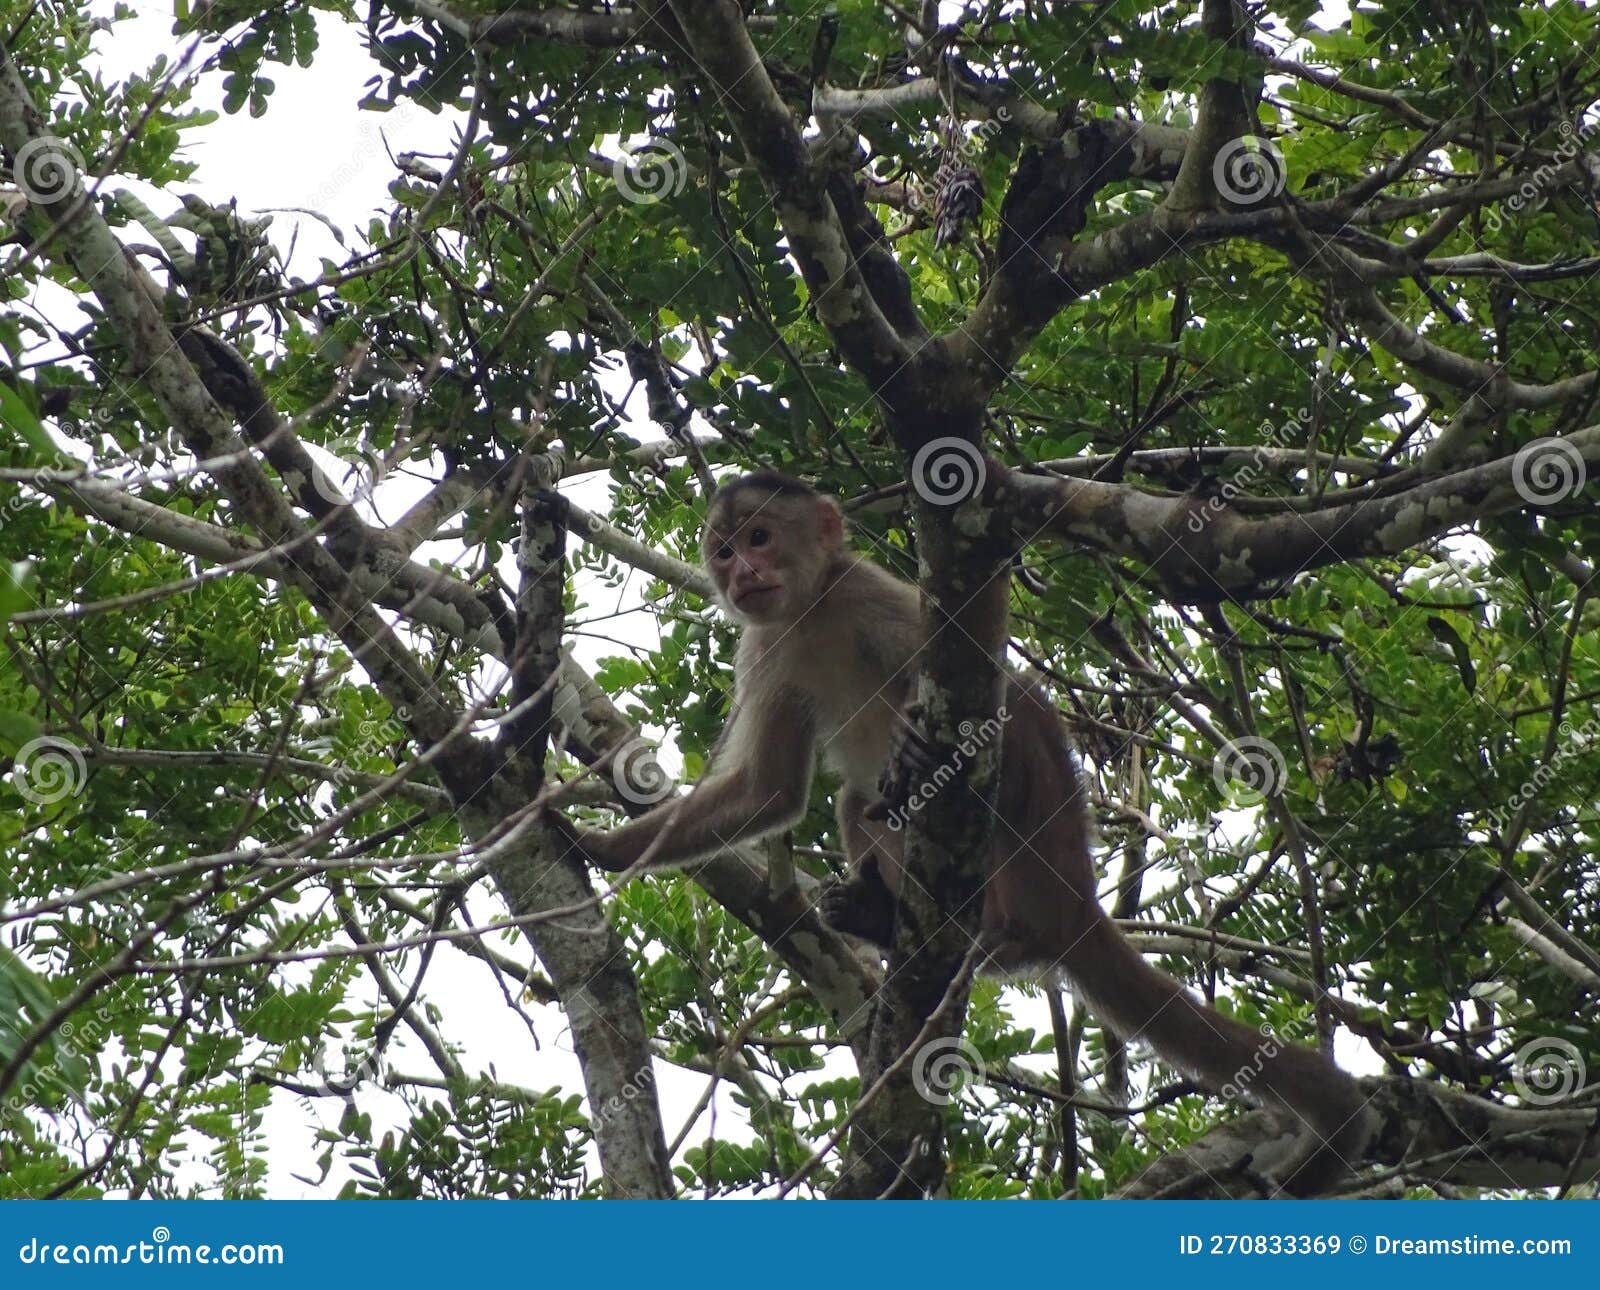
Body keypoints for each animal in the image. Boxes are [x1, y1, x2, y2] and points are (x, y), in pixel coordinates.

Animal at [559, 470, 1374, 1191]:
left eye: (760, 537)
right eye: (725, 550)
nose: (741, 573)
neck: (812, 609)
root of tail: (1077, 900)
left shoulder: (871, 598)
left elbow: (1007, 698)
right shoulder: (765, 644)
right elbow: (768, 792)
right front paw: (598, 845)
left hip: (1038, 853)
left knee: (994, 762)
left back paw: (991, 921)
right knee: (859, 801)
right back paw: (882, 918)